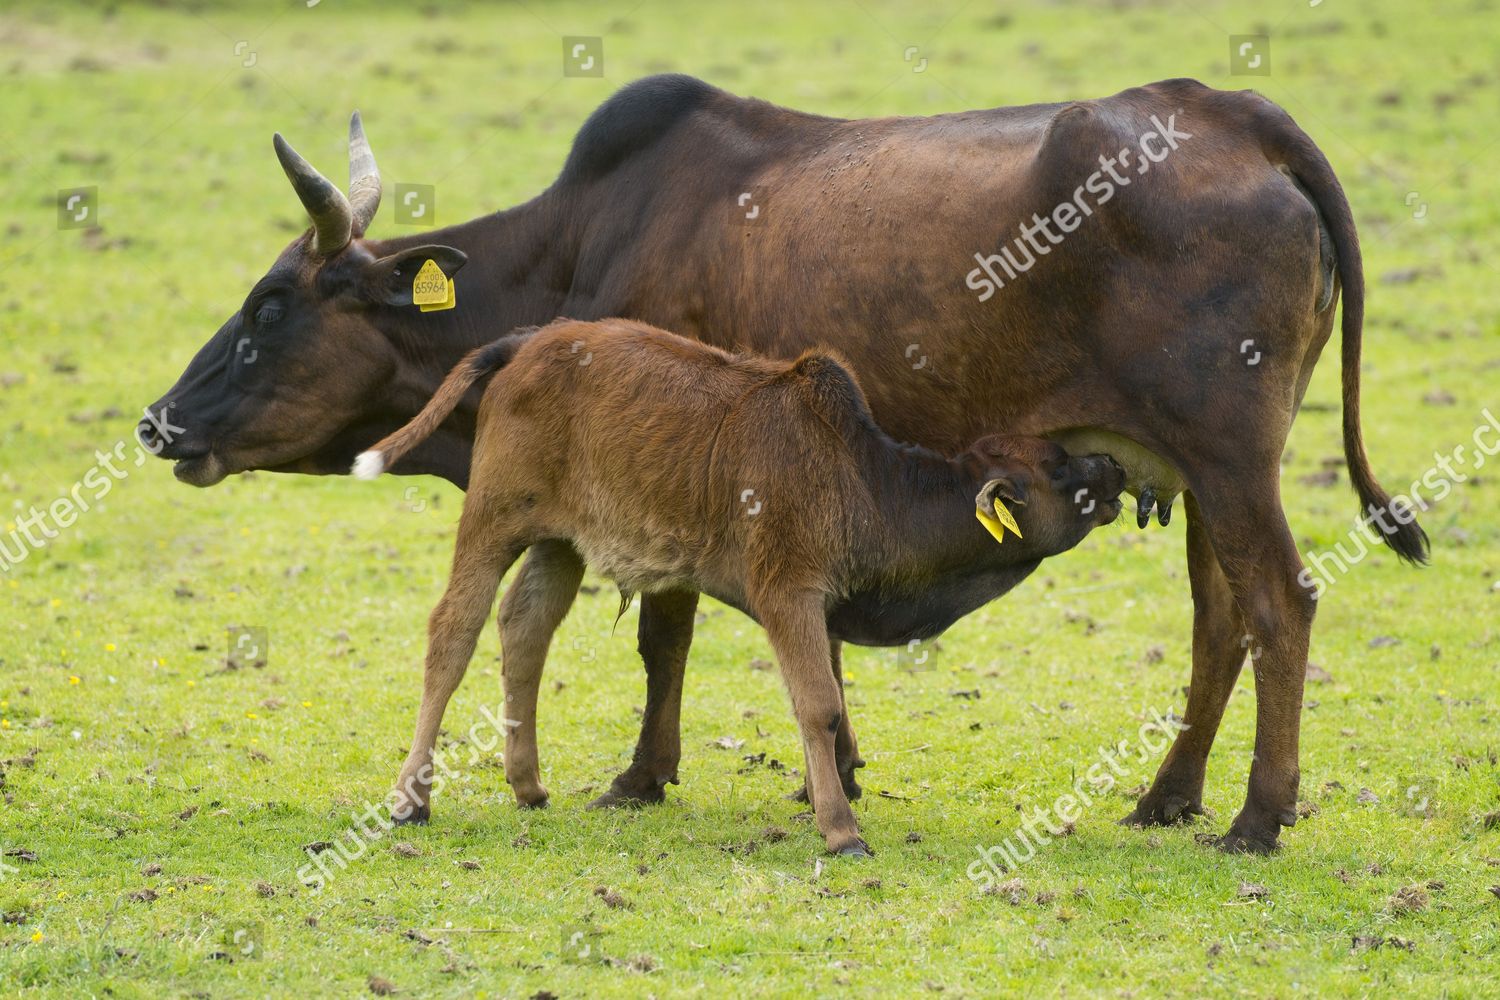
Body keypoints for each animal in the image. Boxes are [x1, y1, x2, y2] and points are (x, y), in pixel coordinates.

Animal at [352, 317, 1128, 854]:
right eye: (1059, 469)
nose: (1115, 469)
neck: (866, 481)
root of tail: (532, 340)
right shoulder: (789, 591)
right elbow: (819, 706)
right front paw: (841, 830)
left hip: (560, 542)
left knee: (524, 629)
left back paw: (528, 783)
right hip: (494, 518)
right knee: (453, 632)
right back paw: (412, 799)